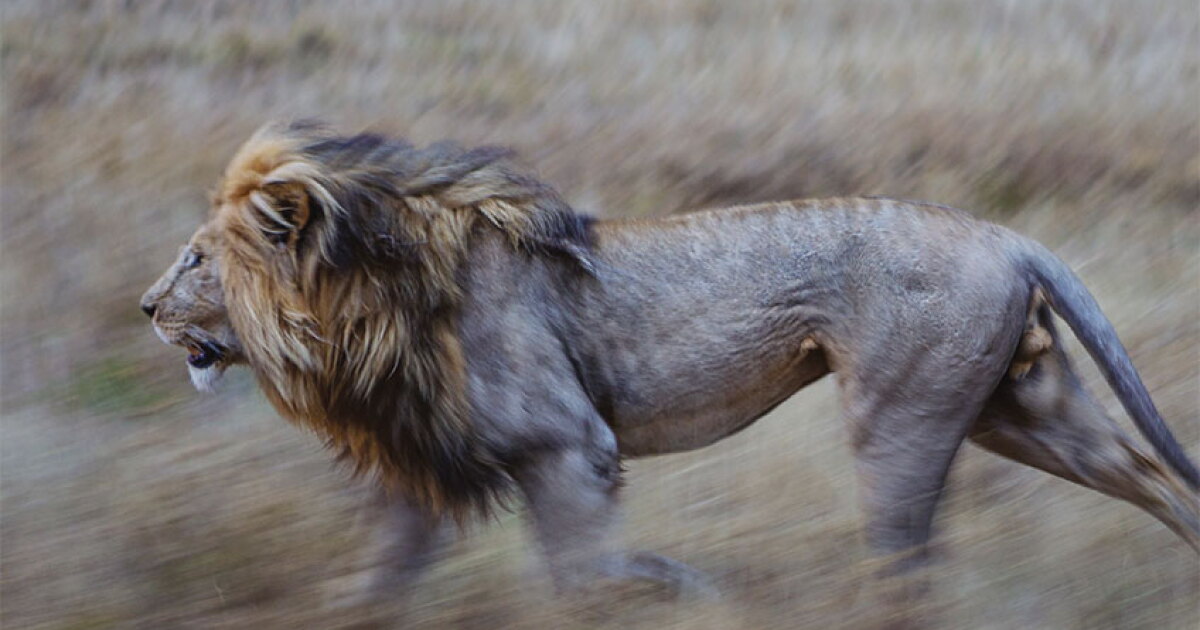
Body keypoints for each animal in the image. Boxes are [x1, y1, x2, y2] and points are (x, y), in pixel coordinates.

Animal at [141, 122, 1199, 612]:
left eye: (194, 260)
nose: (146, 307)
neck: (360, 309)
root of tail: (1007, 235)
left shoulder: (565, 444)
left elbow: (587, 577)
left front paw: (686, 593)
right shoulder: (424, 468)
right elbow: (370, 591)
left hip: (903, 419)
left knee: (905, 562)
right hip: (1017, 410)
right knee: (1153, 477)